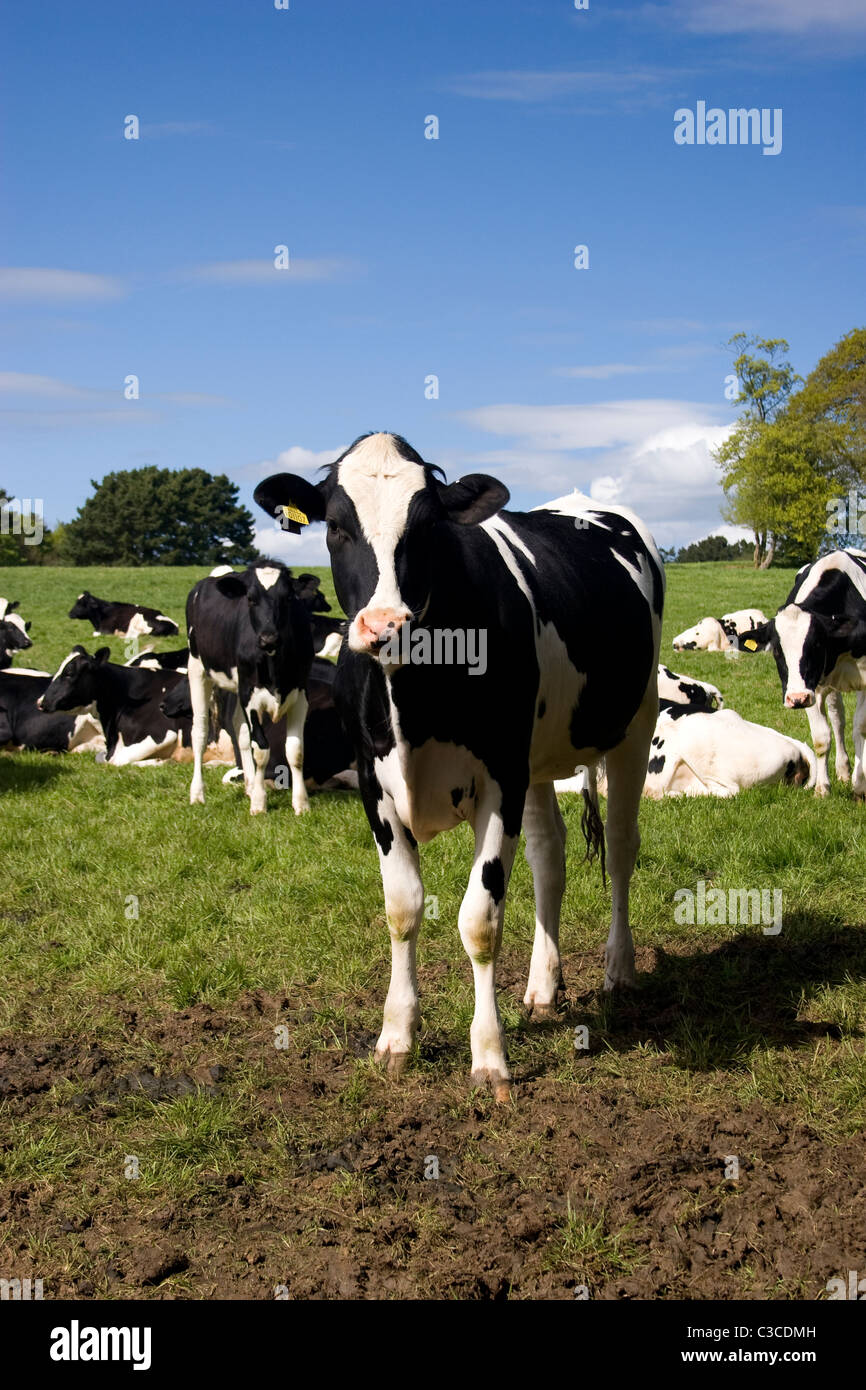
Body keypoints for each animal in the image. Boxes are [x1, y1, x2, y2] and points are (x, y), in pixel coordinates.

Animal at [38, 647, 196, 765]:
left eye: (69, 673)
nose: (41, 702)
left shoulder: (163, 733)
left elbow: (117, 760)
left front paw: (160, 761)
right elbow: (101, 757)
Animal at [186, 563, 314, 815]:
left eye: (287, 598)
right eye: (251, 599)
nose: (268, 638)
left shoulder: (300, 694)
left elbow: (296, 751)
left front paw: (301, 803)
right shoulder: (251, 699)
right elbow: (261, 750)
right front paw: (259, 802)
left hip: (238, 686)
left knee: (240, 730)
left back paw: (248, 785)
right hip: (197, 669)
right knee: (200, 732)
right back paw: (197, 794)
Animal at [253, 431, 665, 1097]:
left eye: (427, 528)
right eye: (335, 526)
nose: (385, 624)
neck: (412, 696)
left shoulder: (500, 780)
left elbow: (480, 921)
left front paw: (490, 1056)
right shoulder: (375, 788)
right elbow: (402, 909)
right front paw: (396, 1036)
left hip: (634, 723)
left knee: (622, 849)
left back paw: (619, 969)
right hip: (538, 758)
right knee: (549, 857)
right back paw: (544, 987)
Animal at [741, 551, 866, 798]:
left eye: (816, 645)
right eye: (776, 651)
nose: (796, 699)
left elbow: (861, 729)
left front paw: (860, 785)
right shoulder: (813, 688)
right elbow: (821, 738)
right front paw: (822, 789)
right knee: (838, 720)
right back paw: (843, 770)